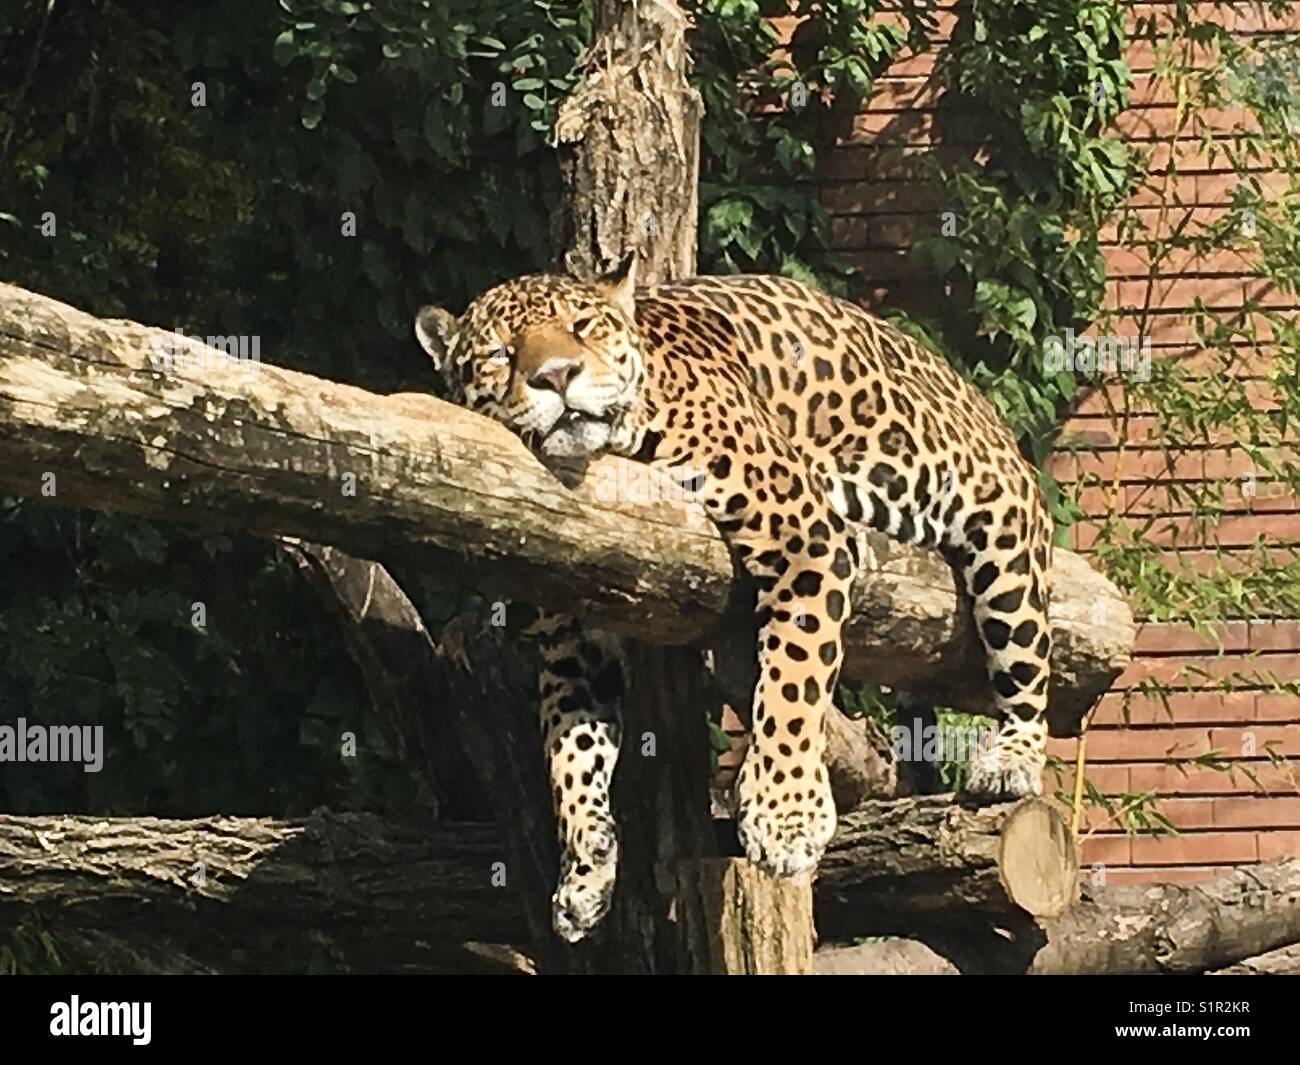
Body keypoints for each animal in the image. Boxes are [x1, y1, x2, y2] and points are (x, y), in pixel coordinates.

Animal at [415, 260, 1053, 943]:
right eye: (499, 353)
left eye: (583, 326)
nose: (557, 375)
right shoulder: (574, 634)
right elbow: (570, 753)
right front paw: (583, 871)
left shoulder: (805, 537)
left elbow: (793, 683)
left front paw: (785, 818)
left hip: (1005, 541)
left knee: (1027, 669)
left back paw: (1010, 761)